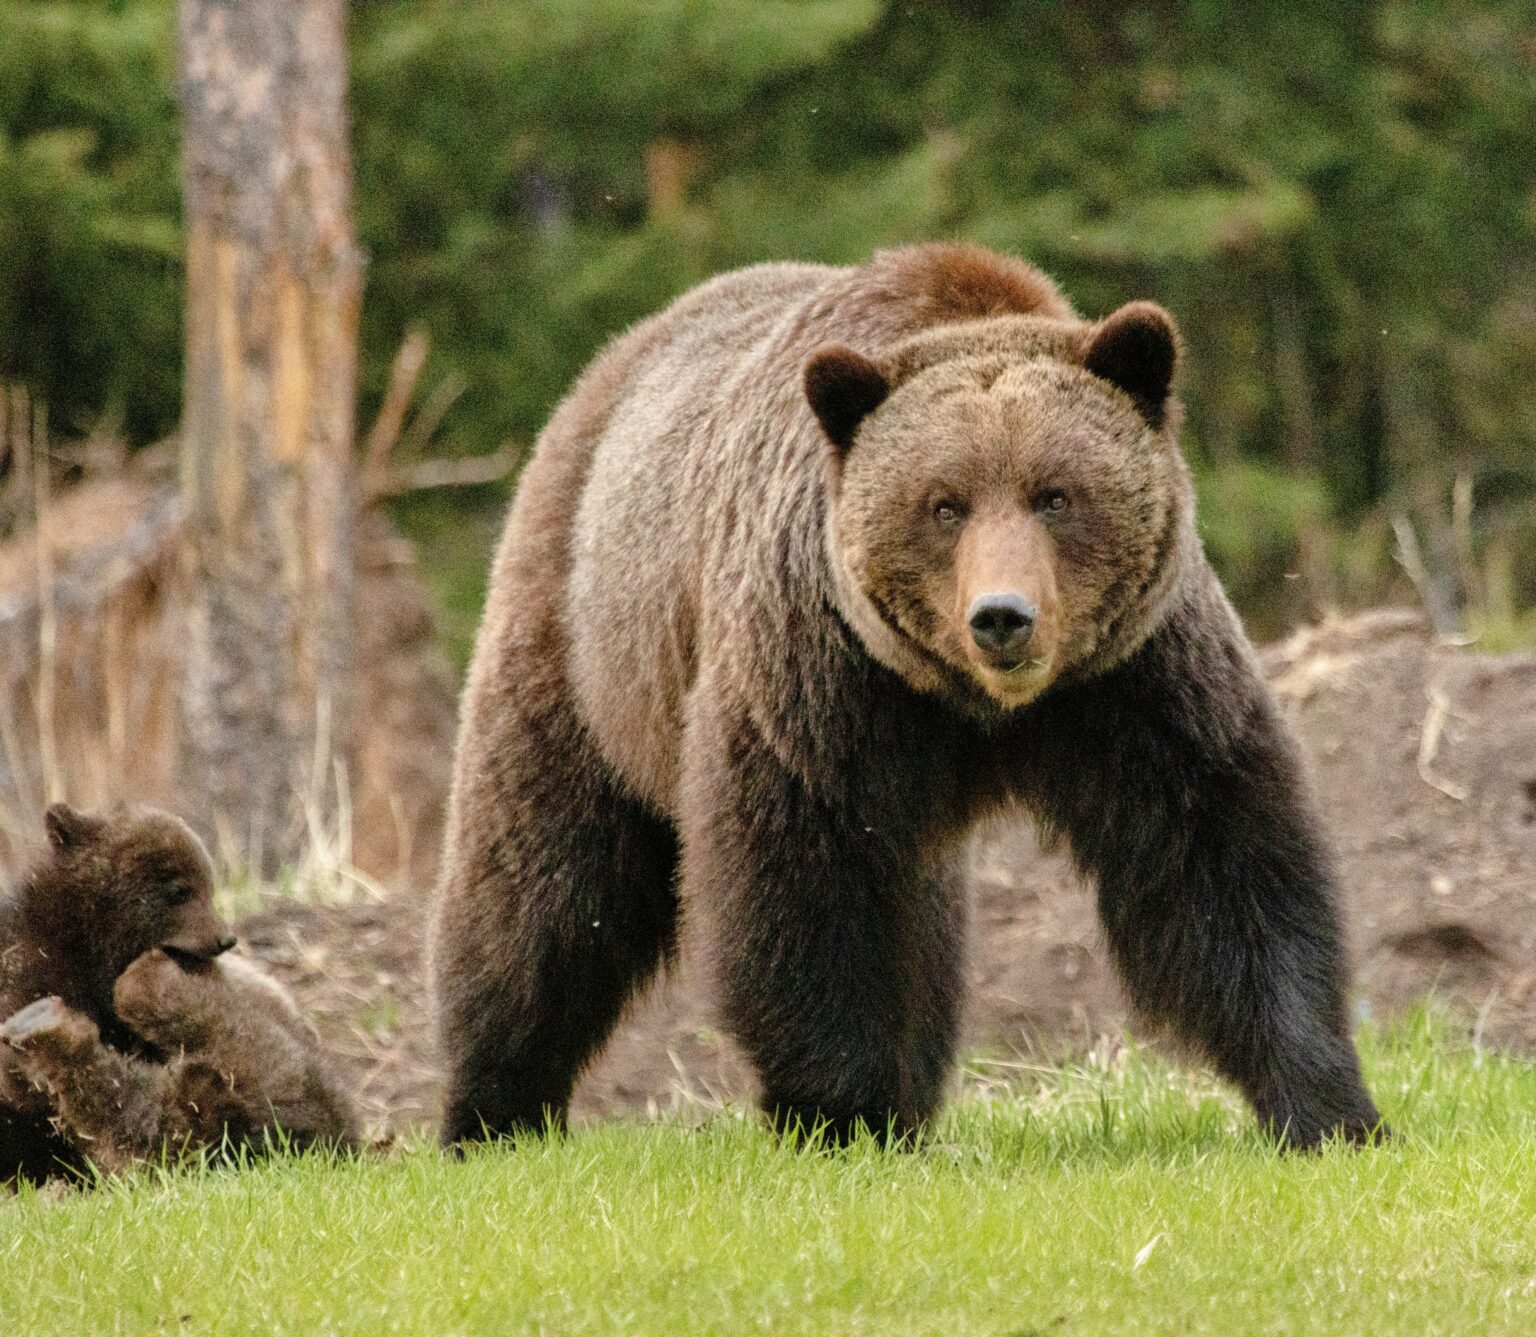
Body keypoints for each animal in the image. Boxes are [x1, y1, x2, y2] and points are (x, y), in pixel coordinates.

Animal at [429, 241, 1383, 1151]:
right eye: (944, 503)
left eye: (1055, 494)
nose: (1002, 617)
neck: (979, 708)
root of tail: (613, 362)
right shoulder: (823, 681)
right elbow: (805, 888)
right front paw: (839, 1112)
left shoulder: (1135, 681)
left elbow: (1220, 858)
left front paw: (1329, 1104)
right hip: (589, 650)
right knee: (543, 886)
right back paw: (491, 1110)